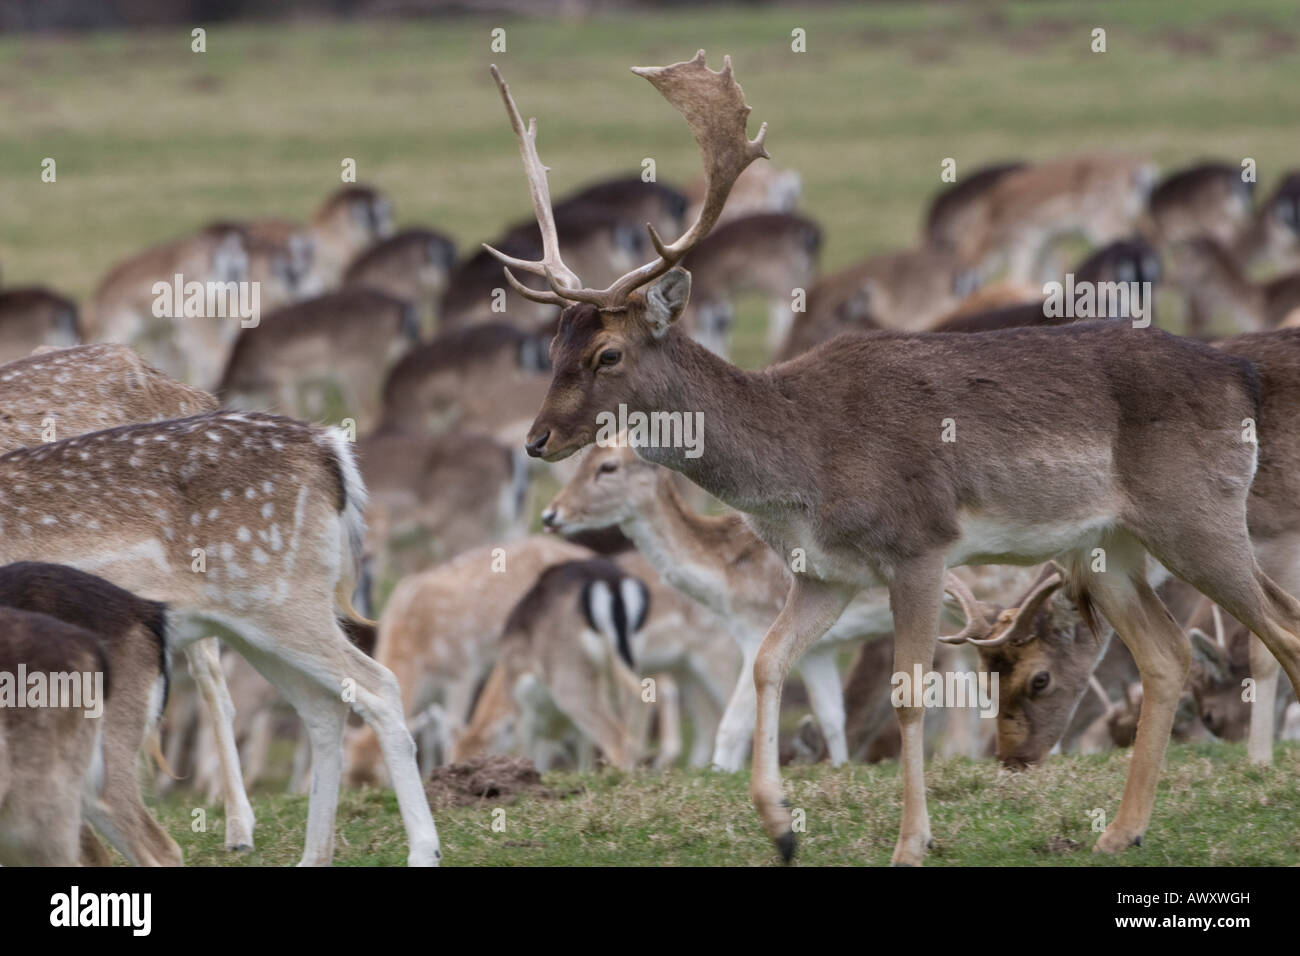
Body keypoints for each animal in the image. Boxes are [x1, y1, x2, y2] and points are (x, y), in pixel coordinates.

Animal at [487, 51, 1300, 865]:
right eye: (554, 343)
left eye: (608, 353)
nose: (536, 440)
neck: (803, 468)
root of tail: (1238, 376)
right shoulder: (825, 573)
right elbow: (768, 662)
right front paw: (780, 826)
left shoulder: (920, 545)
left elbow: (909, 694)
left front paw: (912, 842)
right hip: (1110, 546)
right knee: (1169, 655)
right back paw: (1121, 831)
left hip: (1198, 515)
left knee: (1282, 628)